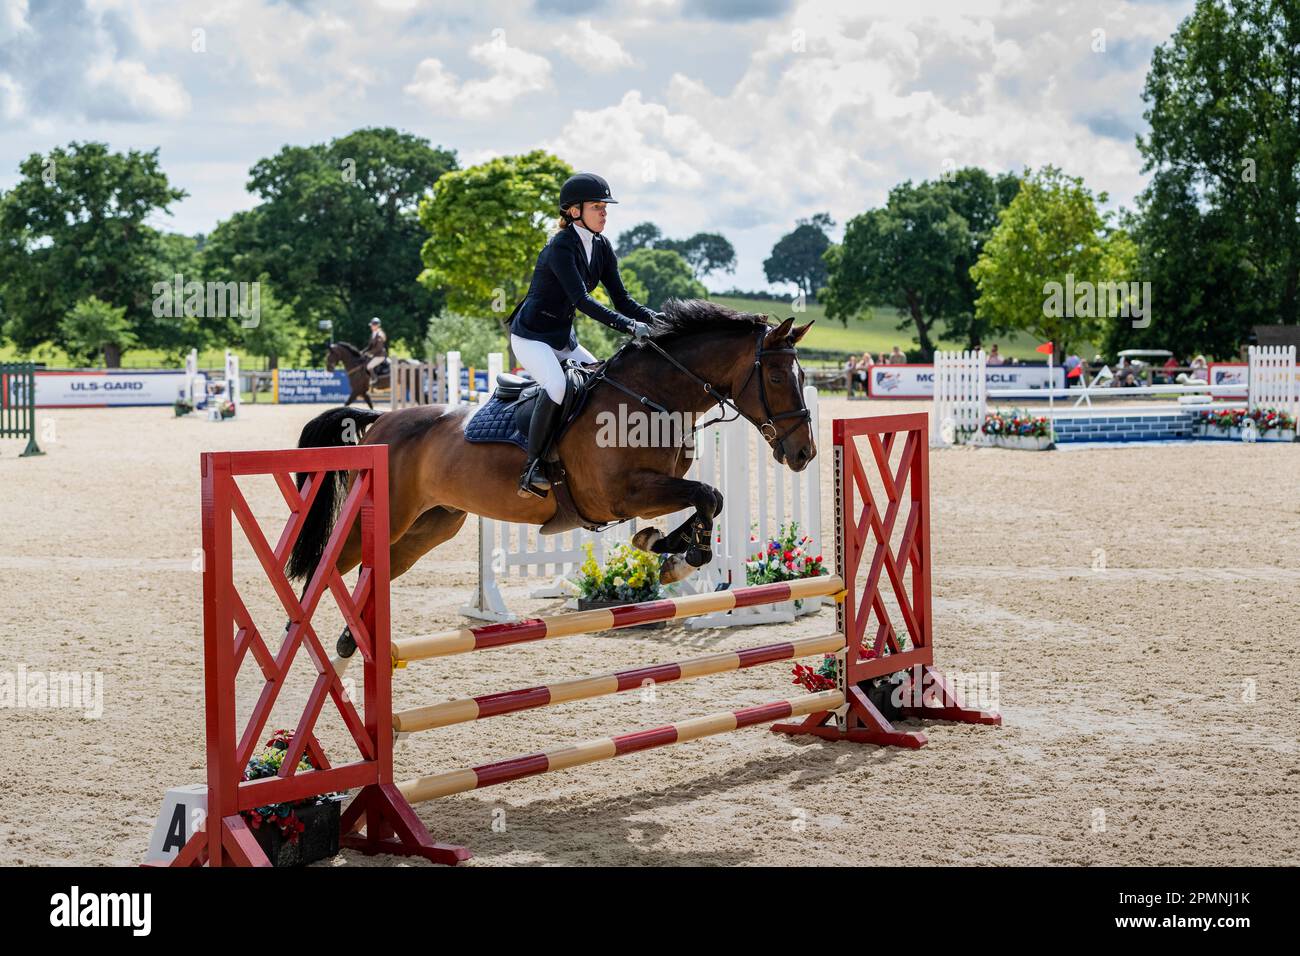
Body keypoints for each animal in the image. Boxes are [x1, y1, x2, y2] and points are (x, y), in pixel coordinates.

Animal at [289, 300, 816, 660]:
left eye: (802, 376)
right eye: (774, 377)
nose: (804, 453)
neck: (650, 397)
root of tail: (381, 421)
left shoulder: (649, 492)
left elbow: (710, 500)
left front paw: (665, 550)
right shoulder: (621, 496)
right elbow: (708, 494)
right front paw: (676, 556)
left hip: (431, 526)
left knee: (376, 569)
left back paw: (348, 642)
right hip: (389, 516)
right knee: (330, 563)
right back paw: (301, 641)